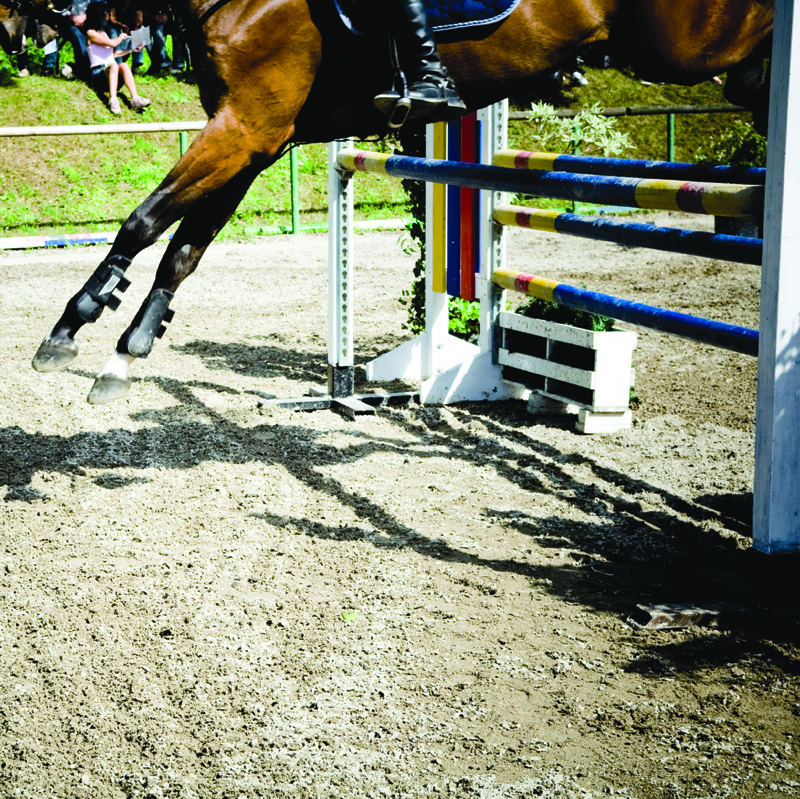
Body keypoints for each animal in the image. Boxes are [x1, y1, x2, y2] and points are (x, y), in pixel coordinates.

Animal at [30, 0, 774, 404]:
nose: (46, 28)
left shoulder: (245, 127)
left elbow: (144, 220)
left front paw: (69, 328)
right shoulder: (254, 137)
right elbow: (181, 251)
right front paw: (123, 355)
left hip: (684, 42)